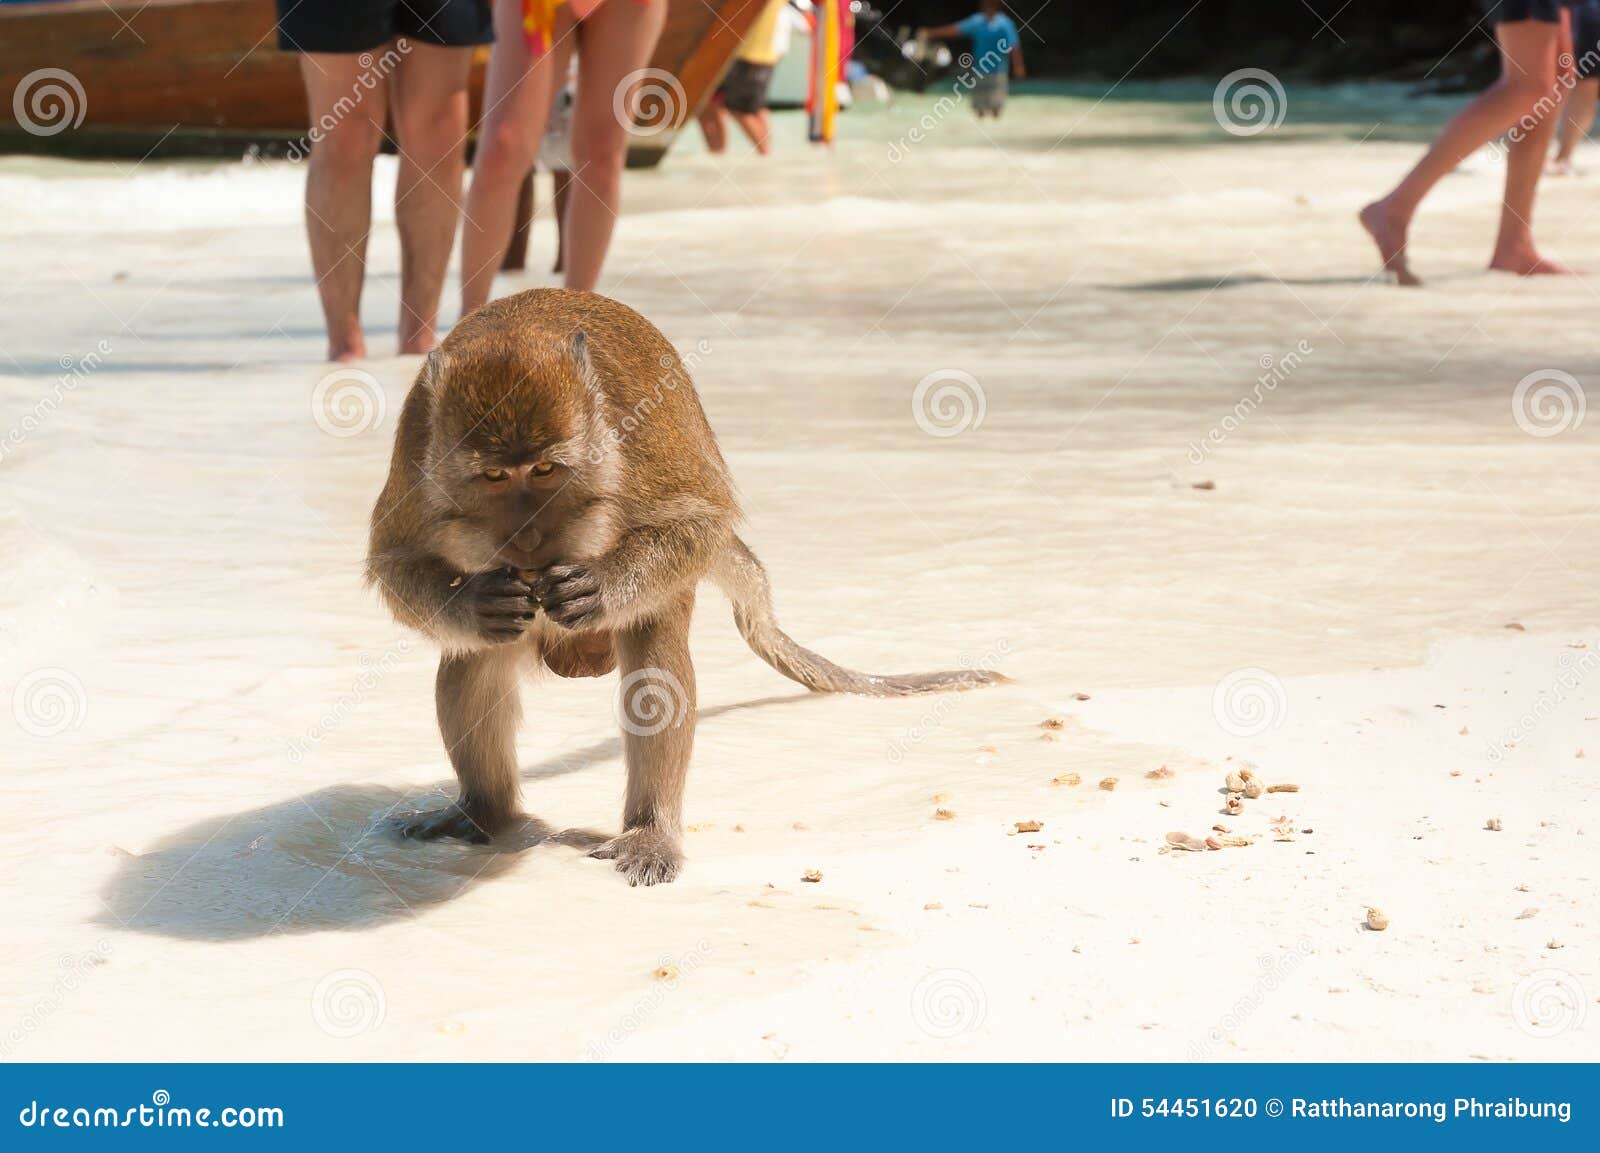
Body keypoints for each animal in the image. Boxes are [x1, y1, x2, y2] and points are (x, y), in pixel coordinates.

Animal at [365, 288, 1007, 886]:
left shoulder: (635, 426)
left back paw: (649, 830)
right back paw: (485, 811)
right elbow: (394, 559)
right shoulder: (419, 437)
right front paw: (475, 601)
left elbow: (701, 521)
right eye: (495, 476)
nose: (527, 537)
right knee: (475, 660)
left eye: (545, 470)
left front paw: (603, 585)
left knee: (655, 662)